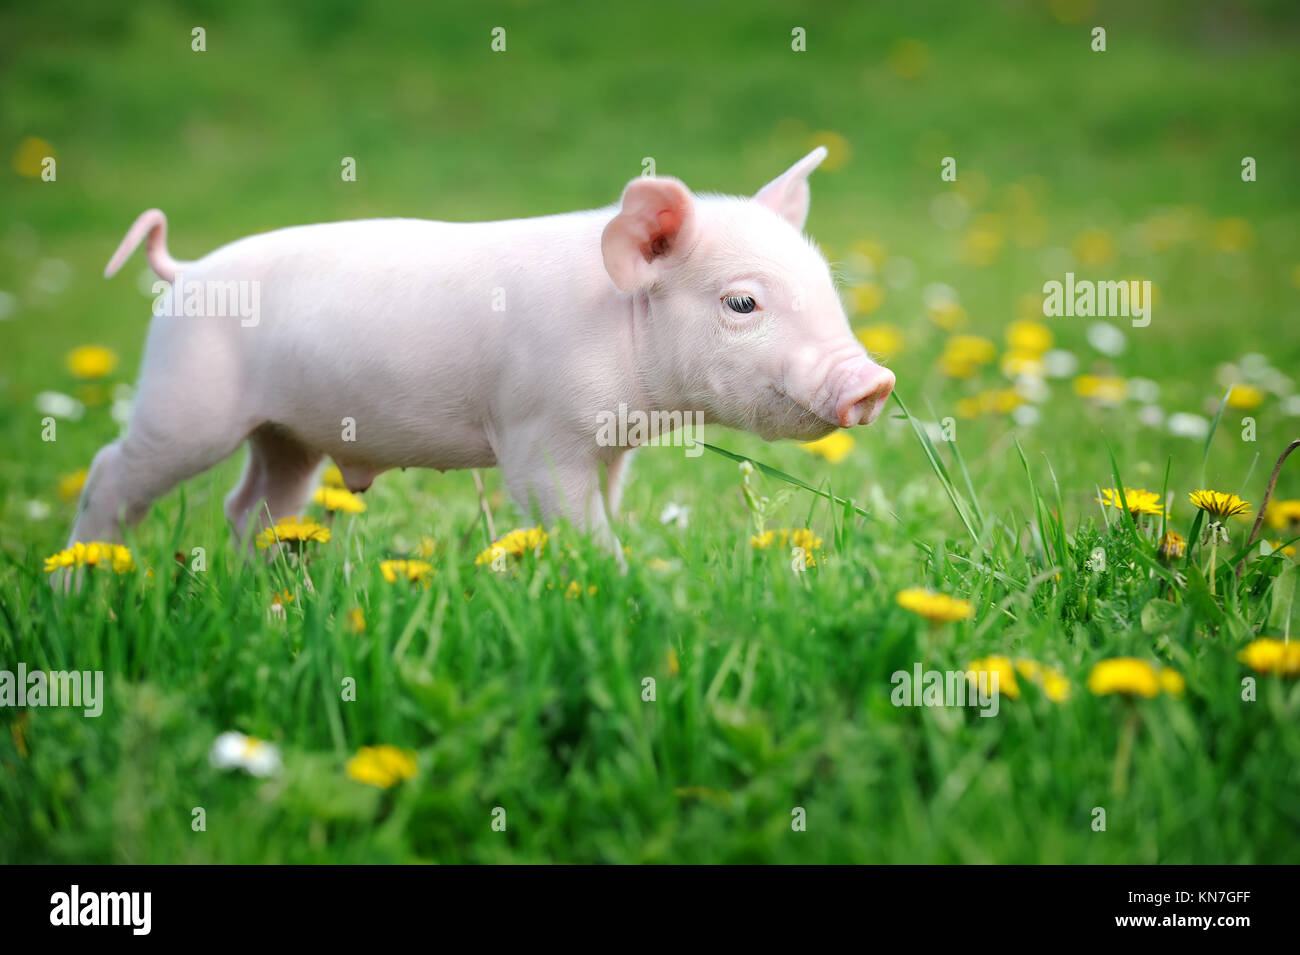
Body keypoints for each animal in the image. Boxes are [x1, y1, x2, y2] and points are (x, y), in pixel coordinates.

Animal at [66, 147, 895, 565]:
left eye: (826, 287)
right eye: (742, 303)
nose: (875, 380)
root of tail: (187, 271)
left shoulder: (610, 446)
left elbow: (605, 510)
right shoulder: (538, 432)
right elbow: (571, 520)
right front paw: (616, 586)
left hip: (287, 434)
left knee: (254, 505)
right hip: (185, 401)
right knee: (110, 470)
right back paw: (83, 583)